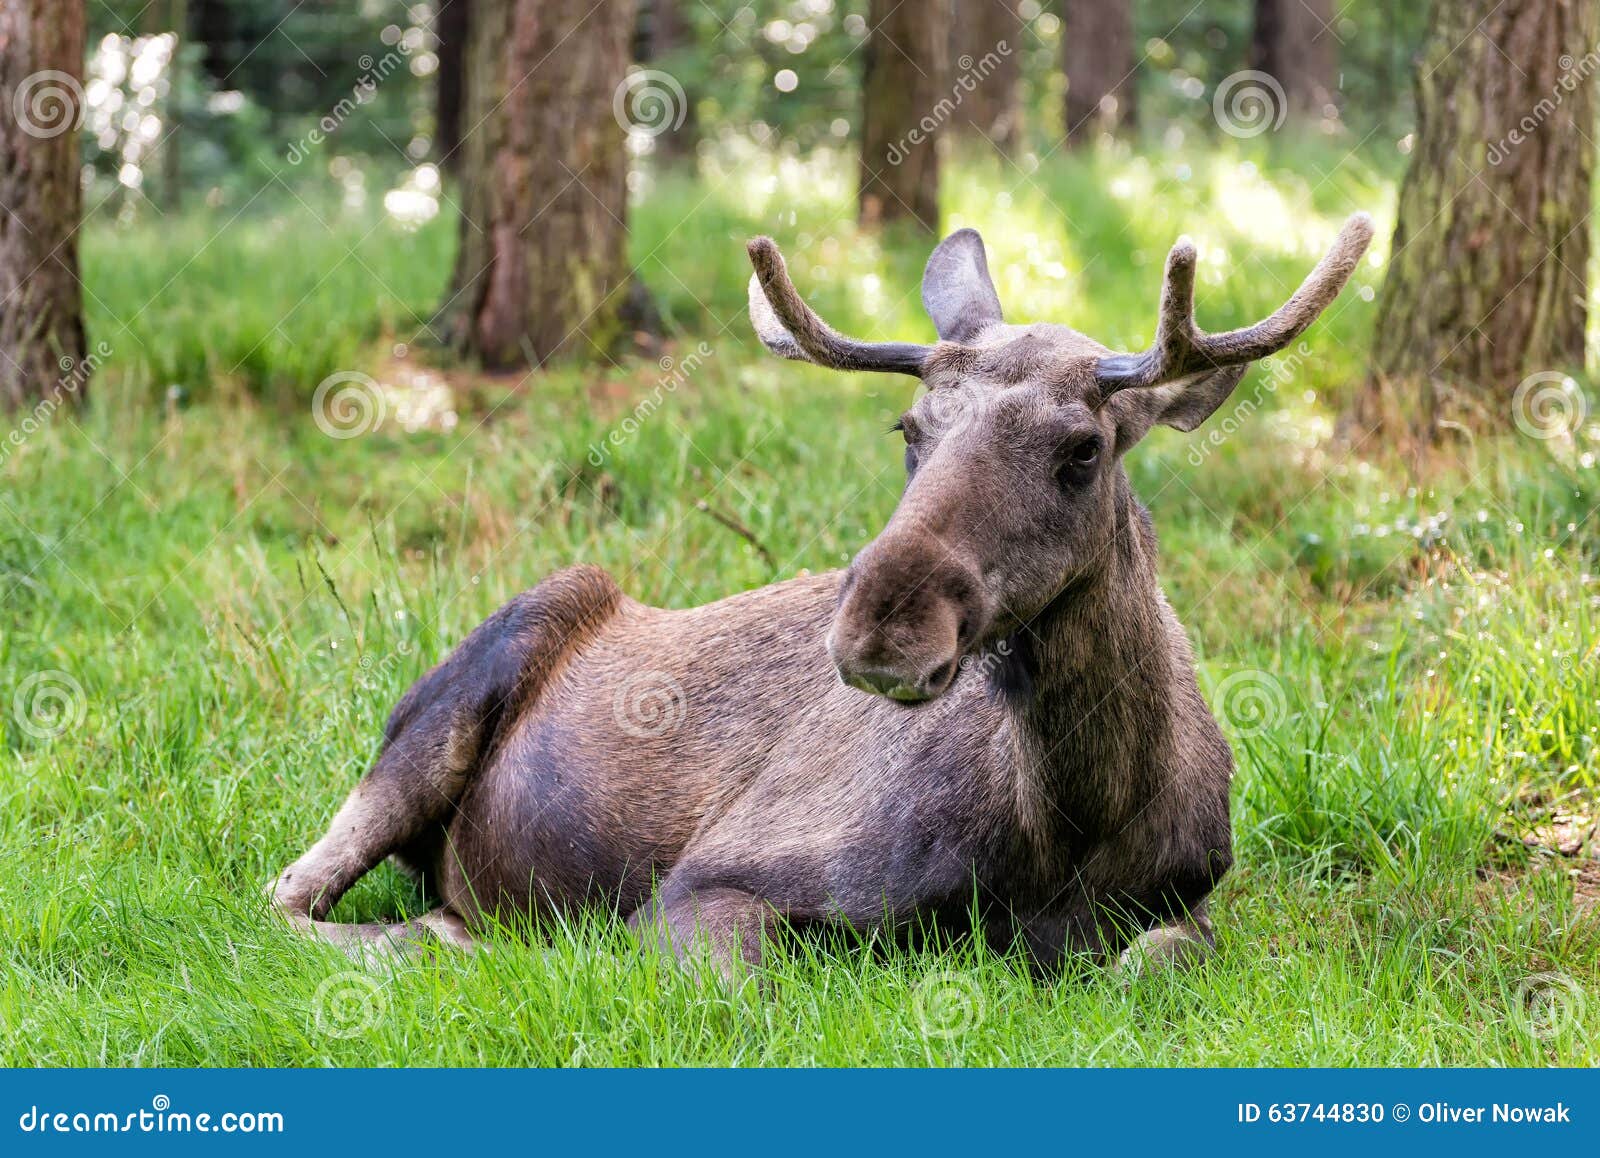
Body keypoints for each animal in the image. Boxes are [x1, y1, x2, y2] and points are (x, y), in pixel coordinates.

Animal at [267, 213, 1374, 976]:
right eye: (909, 429)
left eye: (1081, 449)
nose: (886, 622)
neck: (1074, 826)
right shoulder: (713, 880)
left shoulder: (1183, 903)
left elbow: (1159, 963)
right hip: (445, 708)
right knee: (289, 902)